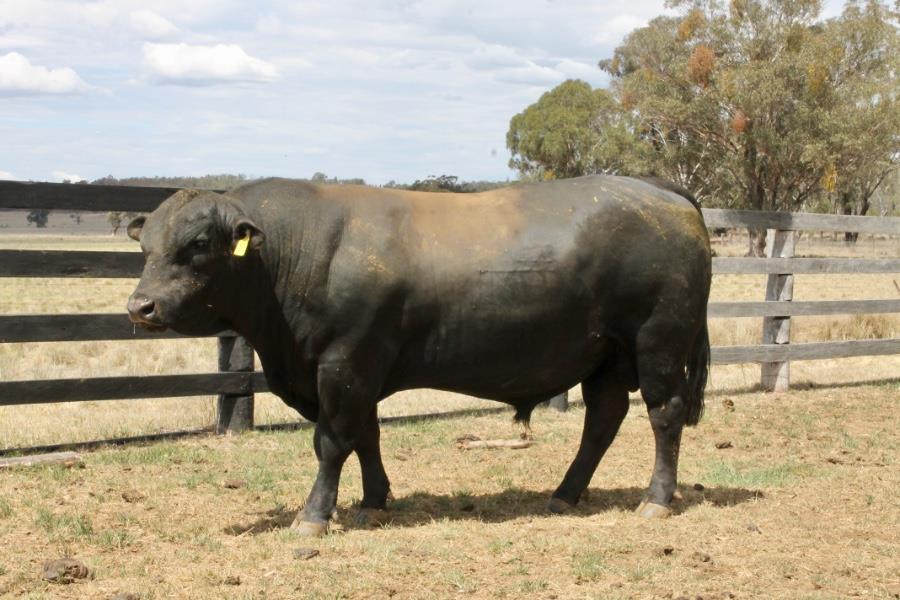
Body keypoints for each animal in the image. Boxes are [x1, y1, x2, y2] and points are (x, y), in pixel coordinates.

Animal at [126, 175, 711, 537]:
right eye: (145, 245)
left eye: (199, 243)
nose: (140, 305)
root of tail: (658, 190)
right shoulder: (357, 374)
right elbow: (367, 436)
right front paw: (374, 502)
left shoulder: (343, 365)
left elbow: (332, 442)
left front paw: (314, 514)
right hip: (606, 357)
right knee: (603, 420)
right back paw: (565, 494)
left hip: (657, 342)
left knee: (664, 415)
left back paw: (656, 499)